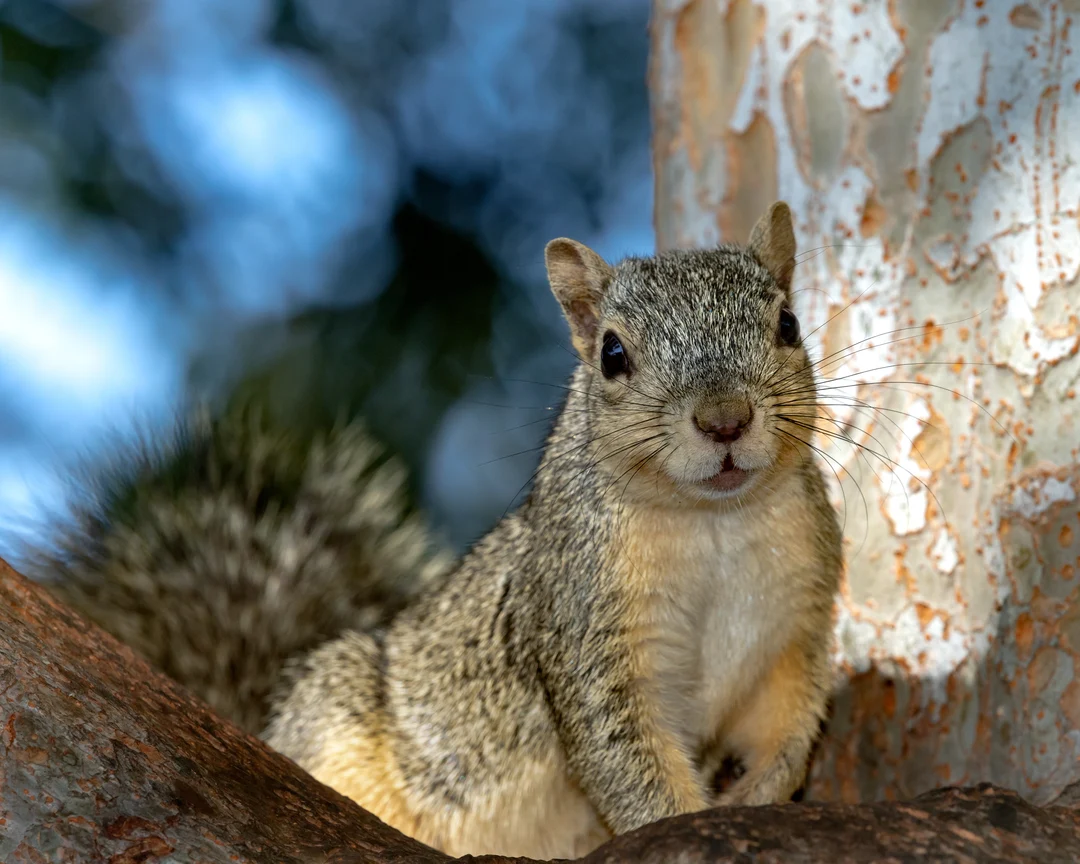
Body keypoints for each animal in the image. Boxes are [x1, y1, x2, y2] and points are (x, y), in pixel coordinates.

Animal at [32, 201, 843, 859]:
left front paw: (760, 791)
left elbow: (790, 724)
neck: (714, 525)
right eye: (613, 355)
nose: (724, 421)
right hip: (336, 719)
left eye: (788, 324)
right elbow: (623, 758)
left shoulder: (795, 624)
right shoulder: (583, 628)